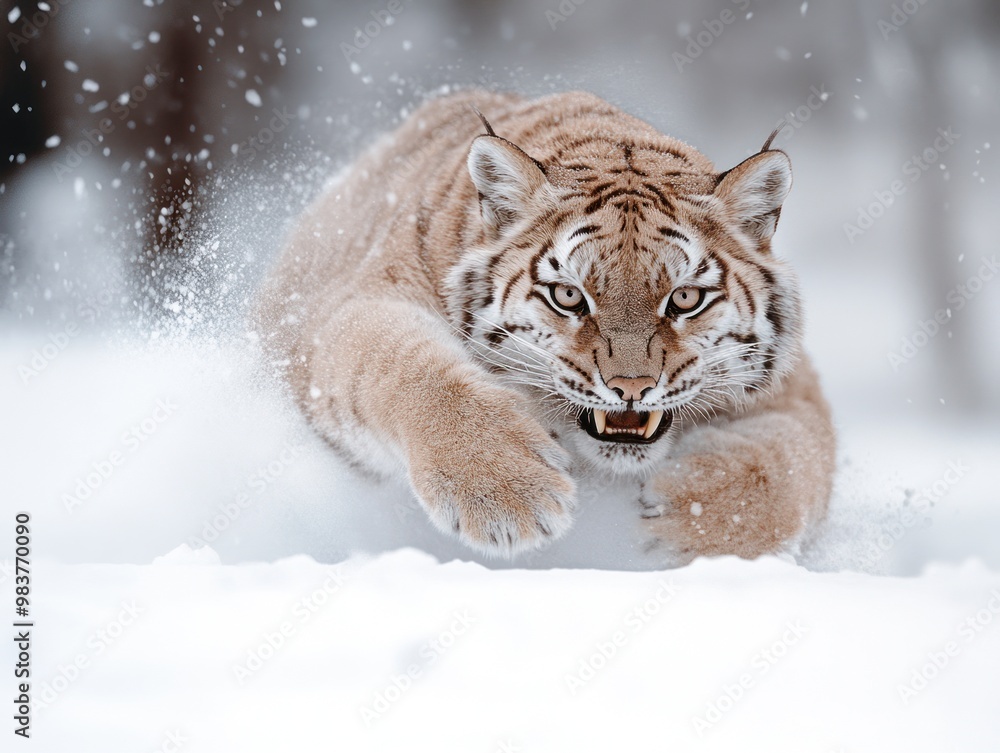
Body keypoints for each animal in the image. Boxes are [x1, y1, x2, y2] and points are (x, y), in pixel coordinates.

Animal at [255, 88, 836, 562]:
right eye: (569, 296)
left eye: (685, 298)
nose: (631, 388)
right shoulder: (353, 304)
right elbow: (404, 365)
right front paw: (507, 493)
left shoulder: (793, 385)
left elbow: (794, 460)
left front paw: (691, 517)